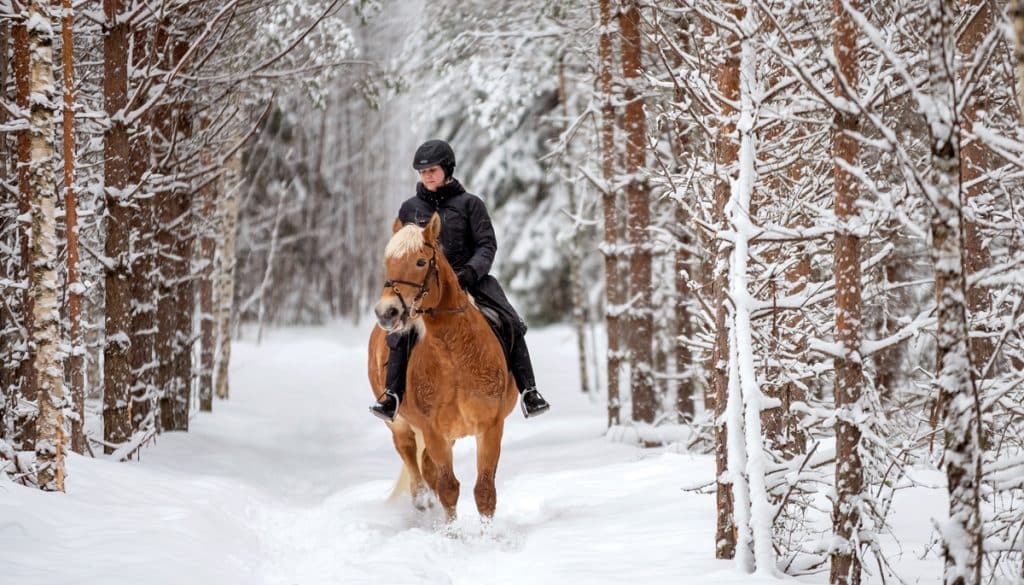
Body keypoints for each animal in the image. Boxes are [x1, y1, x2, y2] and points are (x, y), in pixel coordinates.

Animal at [367, 213, 519, 521]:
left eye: (420, 262)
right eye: (388, 261)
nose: (386, 313)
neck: (454, 356)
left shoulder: (490, 427)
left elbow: (484, 492)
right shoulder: (434, 431)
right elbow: (448, 488)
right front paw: (451, 531)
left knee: (426, 468)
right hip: (400, 425)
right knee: (412, 461)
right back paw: (423, 502)